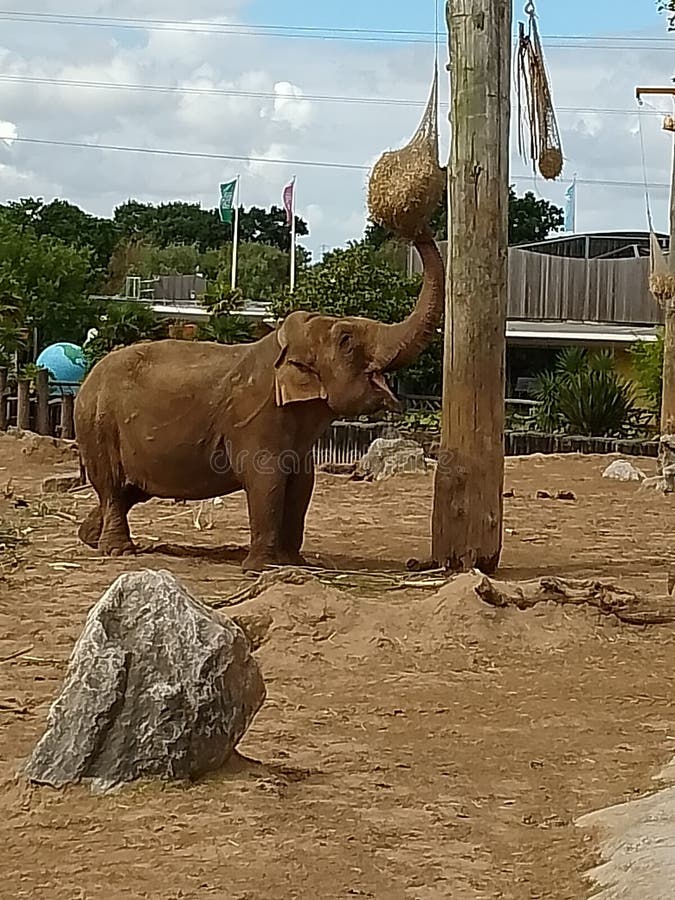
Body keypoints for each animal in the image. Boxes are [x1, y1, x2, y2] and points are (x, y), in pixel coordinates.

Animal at [74, 224, 444, 572]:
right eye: (346, 340)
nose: (417, 228)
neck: (284, 344)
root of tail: (87, 379)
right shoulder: (255, 416)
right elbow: (266, 480)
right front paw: (260, 568)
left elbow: (302, 483)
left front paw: (295, 563)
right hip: (97, 427)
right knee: (112, 486)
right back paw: (118, 550)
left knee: (129, 491)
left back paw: (90, 537)